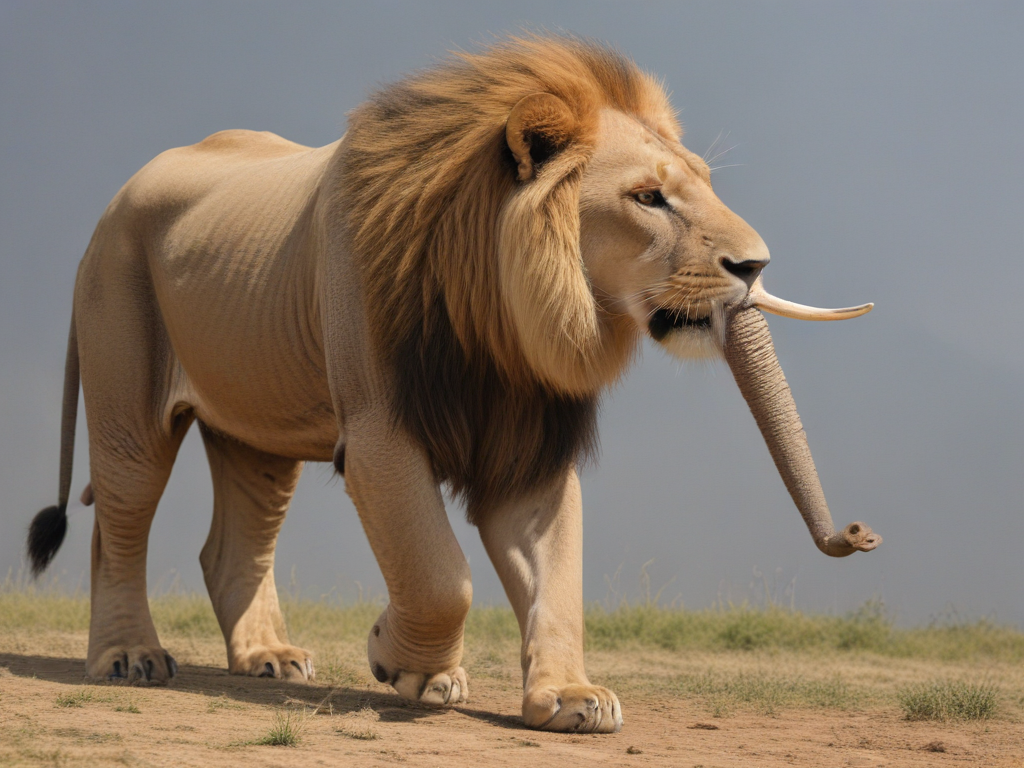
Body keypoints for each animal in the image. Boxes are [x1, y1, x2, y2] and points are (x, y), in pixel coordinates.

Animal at [28, 36, 880, 733]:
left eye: (702, 182)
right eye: (648, 197)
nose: (755, 265)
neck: (502, 319)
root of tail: (111, 208)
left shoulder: (532, 443)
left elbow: (554, 574)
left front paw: (570, 700)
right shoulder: (379, 435)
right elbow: (441, 576)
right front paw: (397, 658)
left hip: (255, 426)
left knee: (230, 546)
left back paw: (270, 659)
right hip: (128, 389)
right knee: (119, 521)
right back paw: (129, 659)